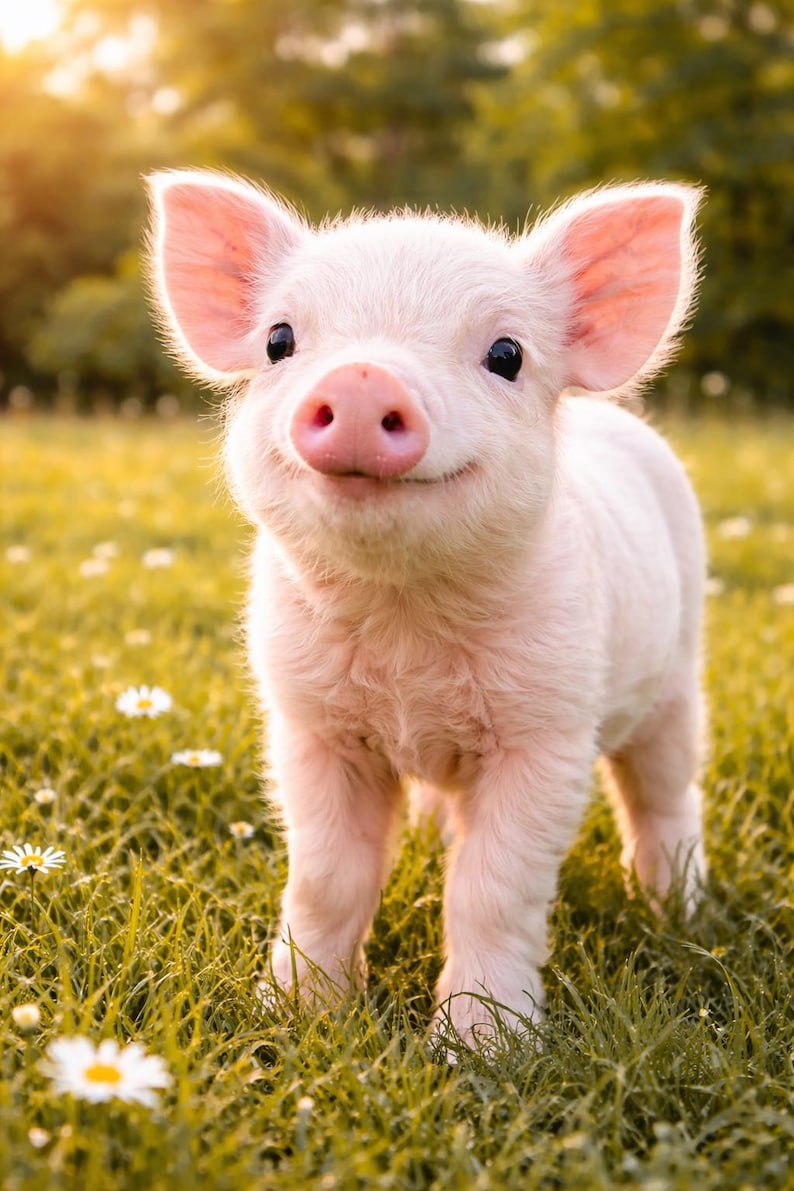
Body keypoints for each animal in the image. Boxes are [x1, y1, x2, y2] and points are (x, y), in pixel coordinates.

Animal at [146, 170, 707, 1048]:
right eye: (279, 340)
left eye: (507, 354)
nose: (363, 378)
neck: (404, 624)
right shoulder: (308, 724)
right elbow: (326, 878)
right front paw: (293, 1017)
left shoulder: (548, 732)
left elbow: (490, 889)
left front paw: (482, 1049)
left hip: (676, 677)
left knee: (665, 794)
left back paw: (678, 912)